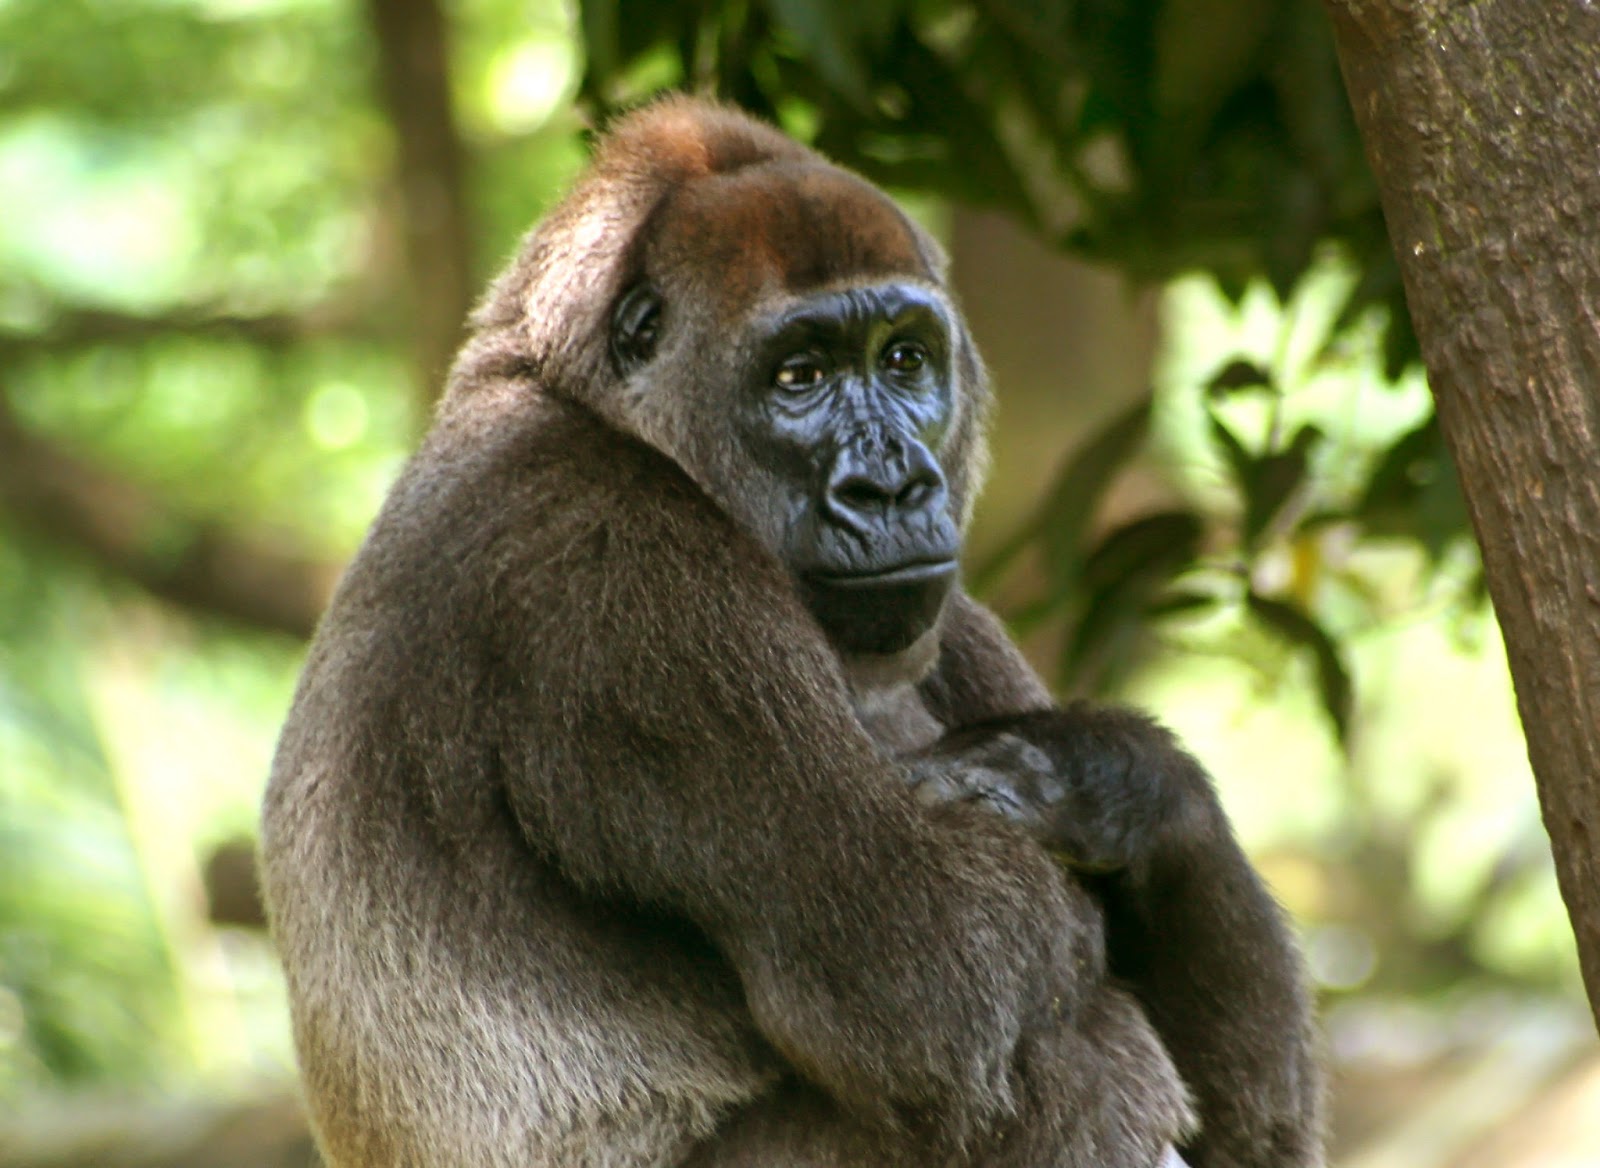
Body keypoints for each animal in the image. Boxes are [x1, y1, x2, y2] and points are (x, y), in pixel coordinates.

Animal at [259, 96, 1322, 1168]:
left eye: (904, 359)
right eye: (799, 376)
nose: (890, 487)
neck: (589, 402)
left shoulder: (954, 617)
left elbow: (1262, 1120)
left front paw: (1098, 782)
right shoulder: (614, 568)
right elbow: (931, 979)